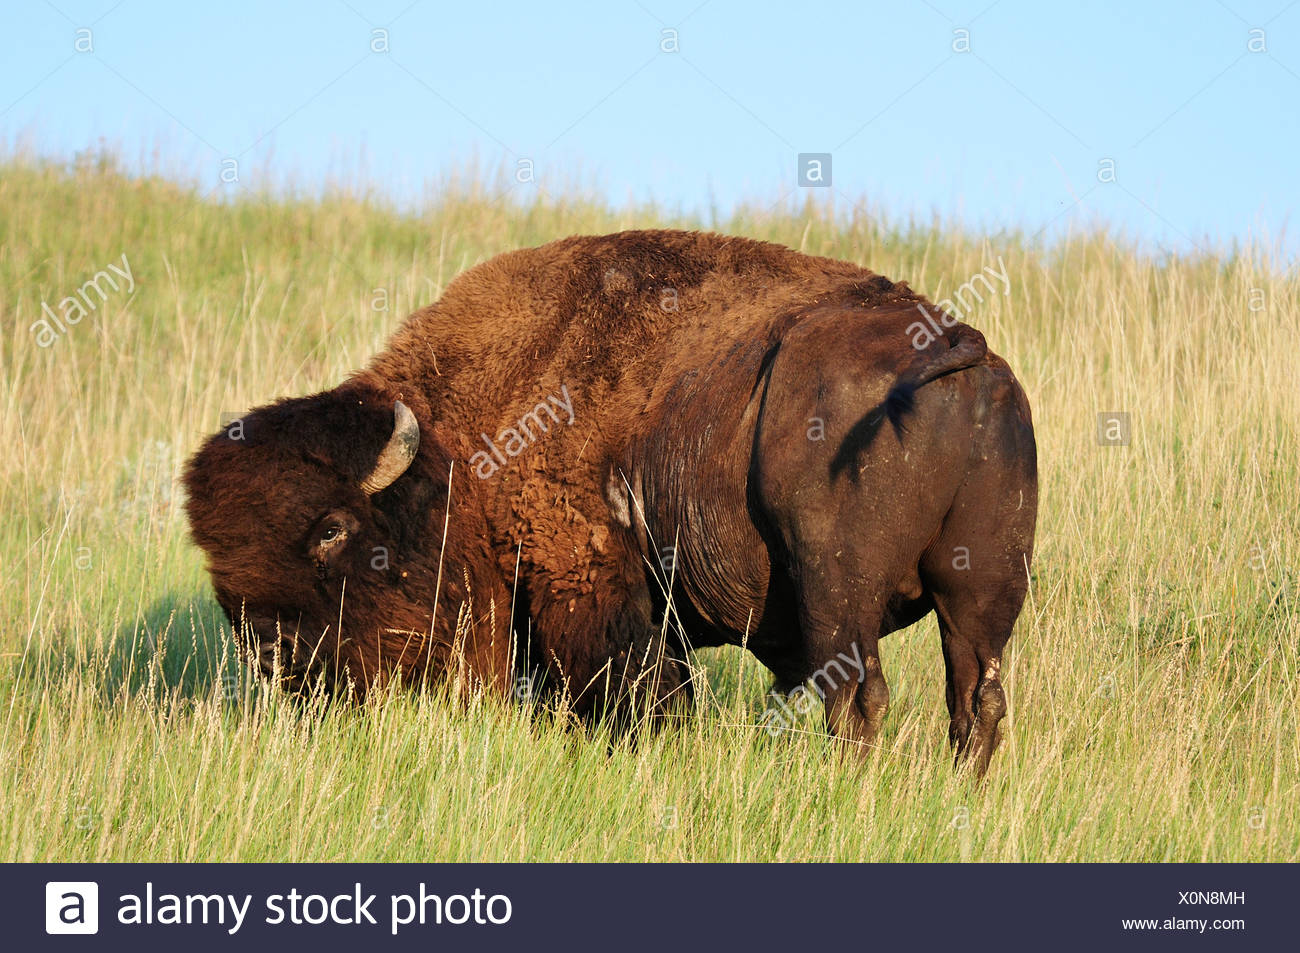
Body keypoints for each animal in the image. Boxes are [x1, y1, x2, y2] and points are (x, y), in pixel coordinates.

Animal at [184, 229, 1037, 775]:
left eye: (330, 529)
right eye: (220, 570)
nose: (274, 657)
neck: (457, 445)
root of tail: (962, 353)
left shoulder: (588, 582)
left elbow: (638, 690)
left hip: (837, 594)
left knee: (859, 699)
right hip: (979, 592)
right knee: (977, 700)